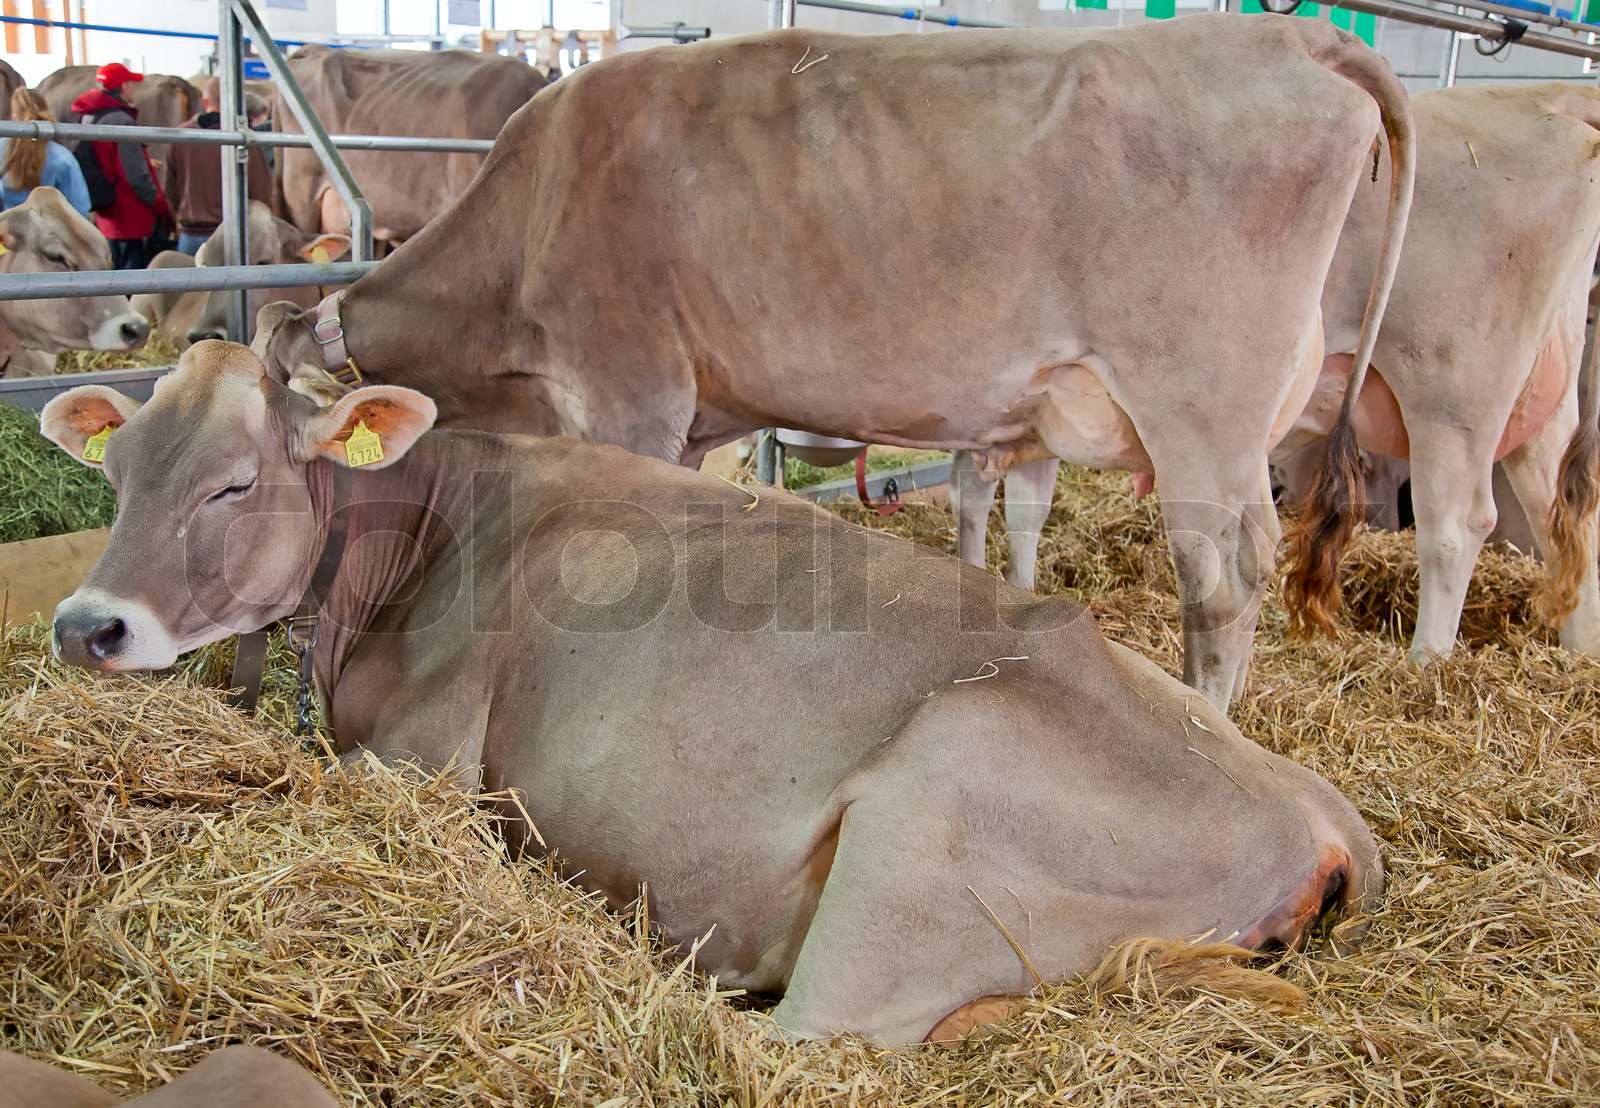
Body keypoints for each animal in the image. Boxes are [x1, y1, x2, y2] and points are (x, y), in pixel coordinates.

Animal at [43, 340, 1382, 1046]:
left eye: (233, 482)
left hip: (917, 848)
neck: (423, 533)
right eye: (116, 467)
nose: (83, 625)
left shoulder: (419, 759)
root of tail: (1320, 816)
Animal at [958, 83, 1600, 668]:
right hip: (1541, 400)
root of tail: (1547, 99)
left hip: (1450, 395)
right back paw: (1577, 651)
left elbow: (1003, 502)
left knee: (1455, 527)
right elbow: (998, 500)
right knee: (1563, 516)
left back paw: (1425, 666)